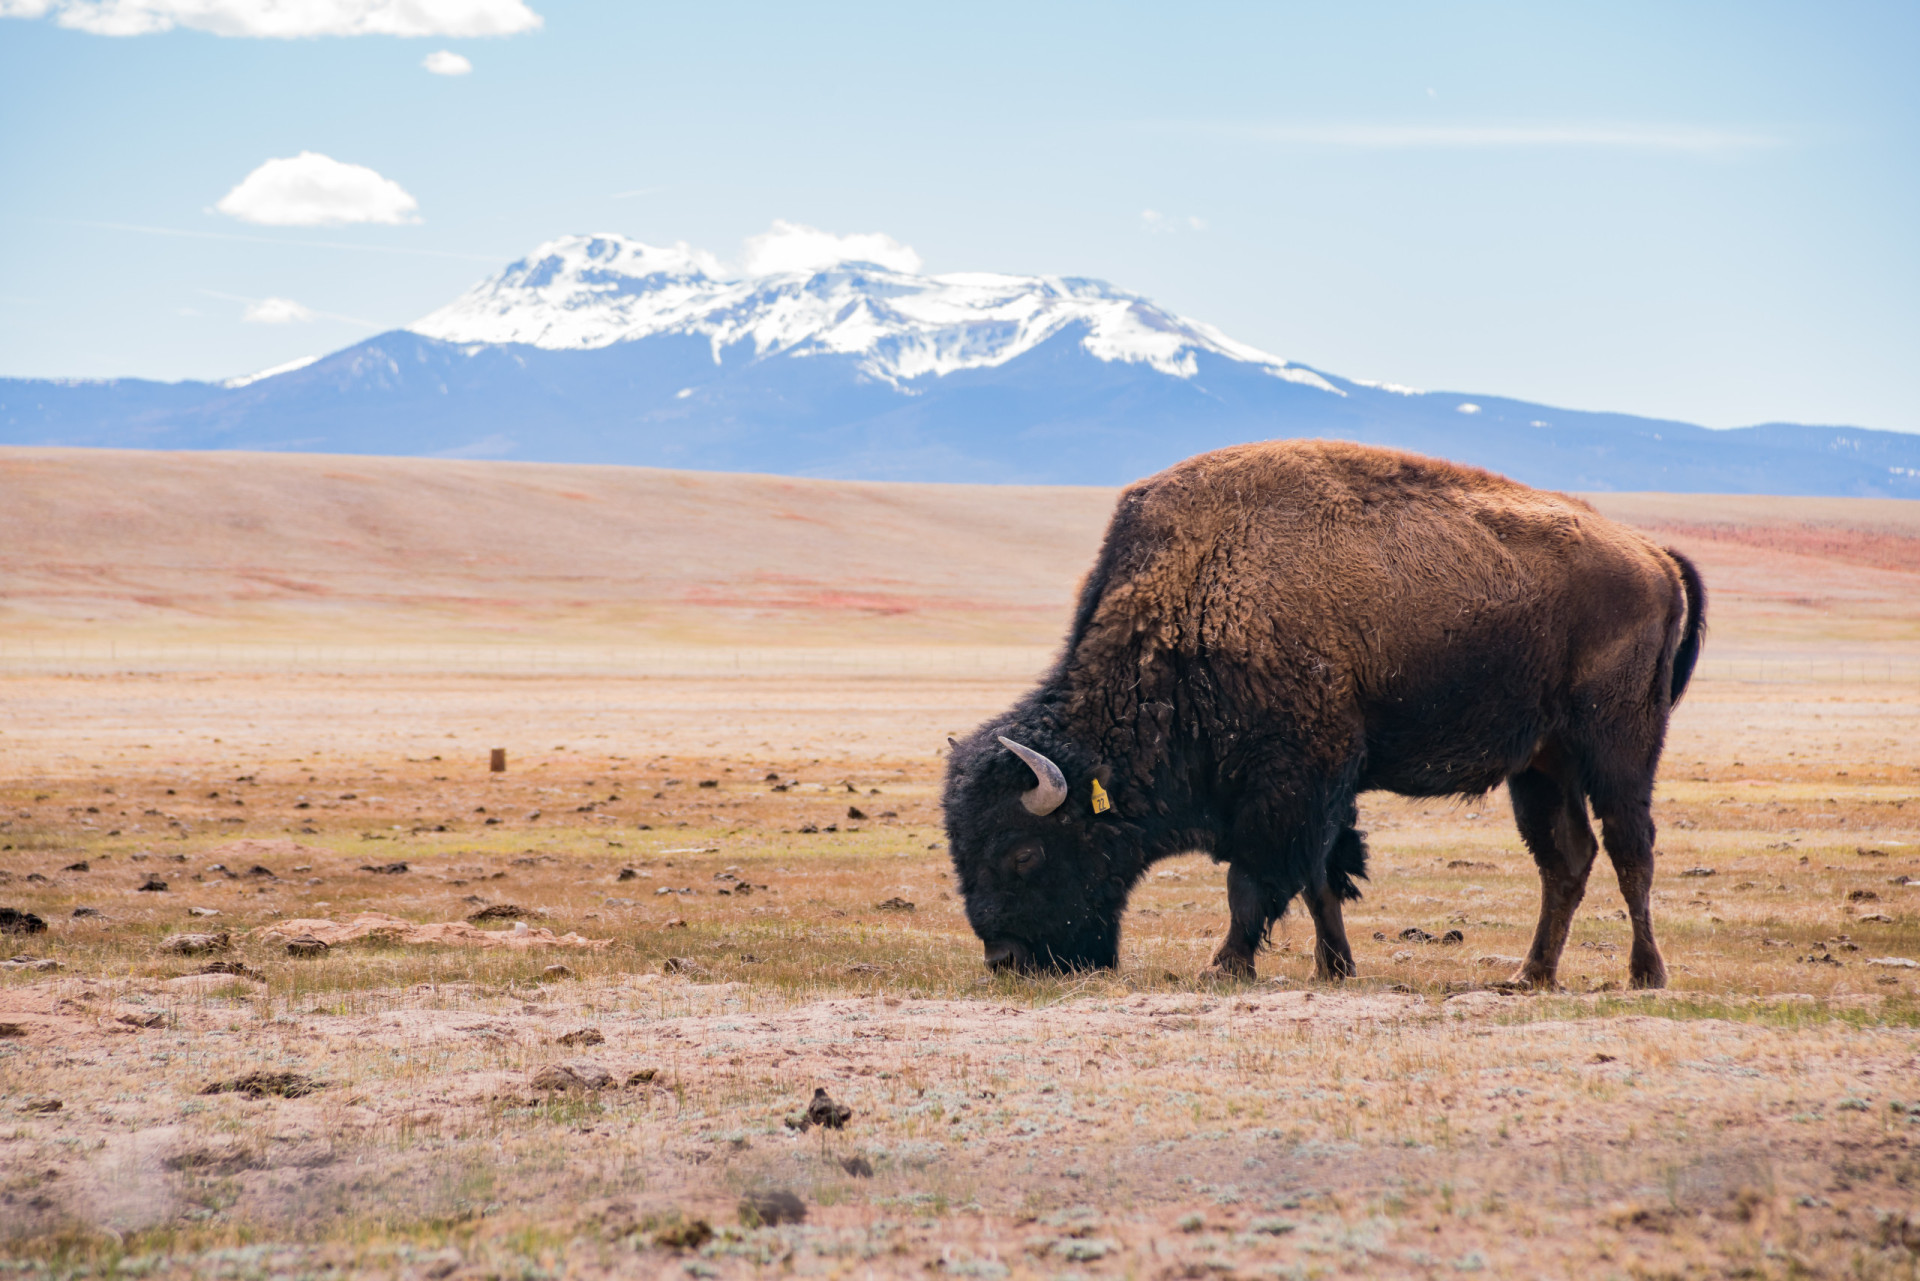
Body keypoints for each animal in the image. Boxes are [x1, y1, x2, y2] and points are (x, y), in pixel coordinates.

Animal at [943, 440, 1705, 990]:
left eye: (1023, 853)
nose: (1006, 960)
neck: (1196, 602)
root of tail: (1653, 554)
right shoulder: (1312, 793)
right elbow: (1318, 880)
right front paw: (1335, 965)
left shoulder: (1288, 785)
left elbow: (1255, 882)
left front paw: (1223, 966)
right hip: (1542, 764)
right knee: (1565, 858)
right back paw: (1531, 974)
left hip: (1618, 749)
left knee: (1630, 848)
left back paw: (1644, 974)